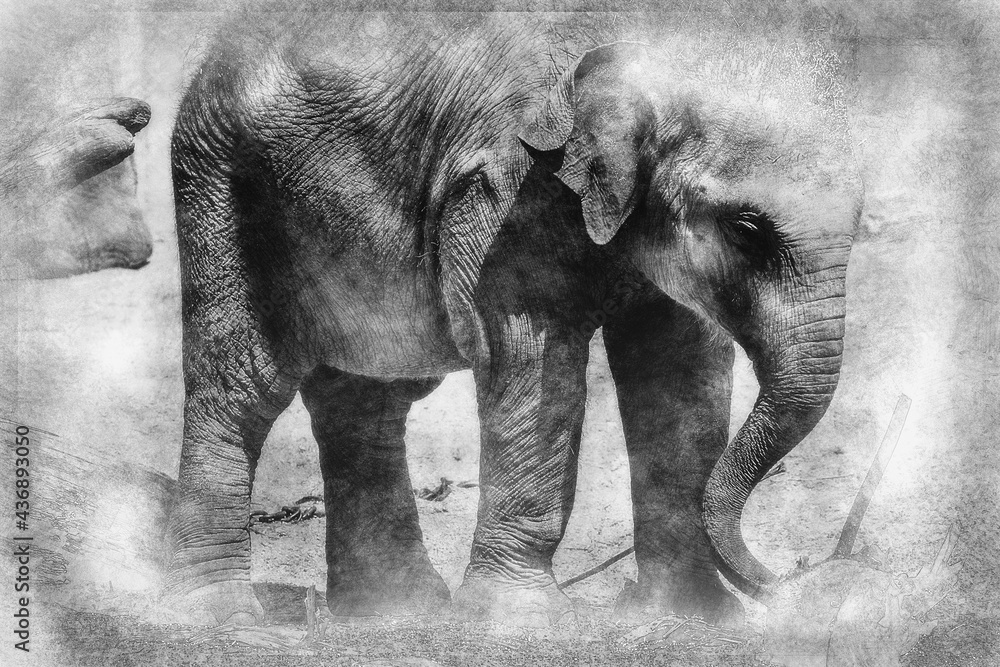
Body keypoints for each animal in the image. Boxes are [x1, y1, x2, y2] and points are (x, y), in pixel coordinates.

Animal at [166, 12, 862, 629]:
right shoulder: (509, 191)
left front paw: (698, 616)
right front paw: (526, 622)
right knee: (244, 387)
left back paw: (395, 611)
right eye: (747, 229)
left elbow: (679, 374)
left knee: (369, 399)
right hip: (219, 185)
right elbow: (536, 366)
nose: (798, 577)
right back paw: (224, 618)